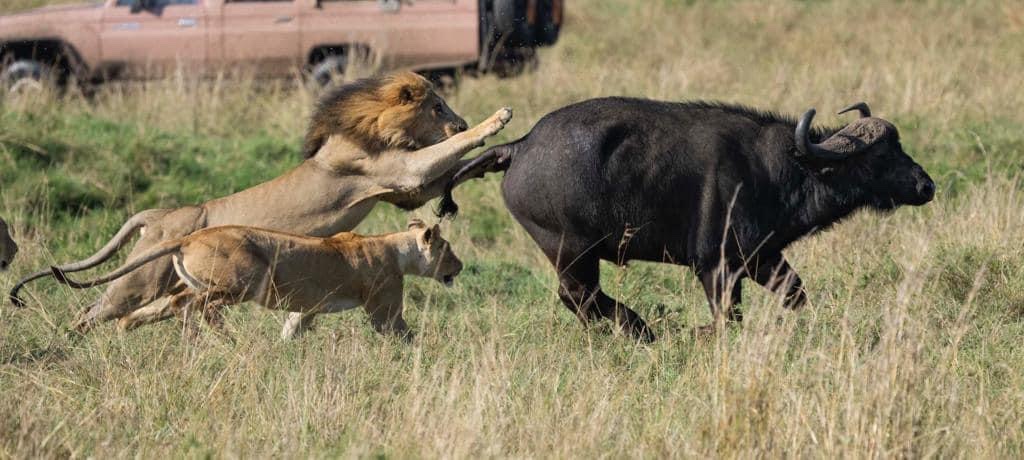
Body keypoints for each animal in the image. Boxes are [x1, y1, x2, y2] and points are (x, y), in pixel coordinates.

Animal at [51, 220, 462, 339]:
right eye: (448, 249)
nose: (459, 267)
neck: (395, 247)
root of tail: (191, 237)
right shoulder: (384, 310)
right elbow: (402, 334)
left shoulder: (307, 308)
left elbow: (292, 329)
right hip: (248, 278)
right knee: (195, 305)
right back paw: (225, 341)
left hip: (198, 281)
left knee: (166, 305)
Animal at [438, 98, 935, 342]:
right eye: (878, 158)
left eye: (899, 146)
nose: (926, 185)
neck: (782, 170)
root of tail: (519, 145)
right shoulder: (715, 268)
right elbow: (727, 320)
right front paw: (694, 331)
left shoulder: (761, 258)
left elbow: (796, 295)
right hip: (571, 250)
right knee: (579, 295)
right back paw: (639, 329)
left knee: (579, 299)